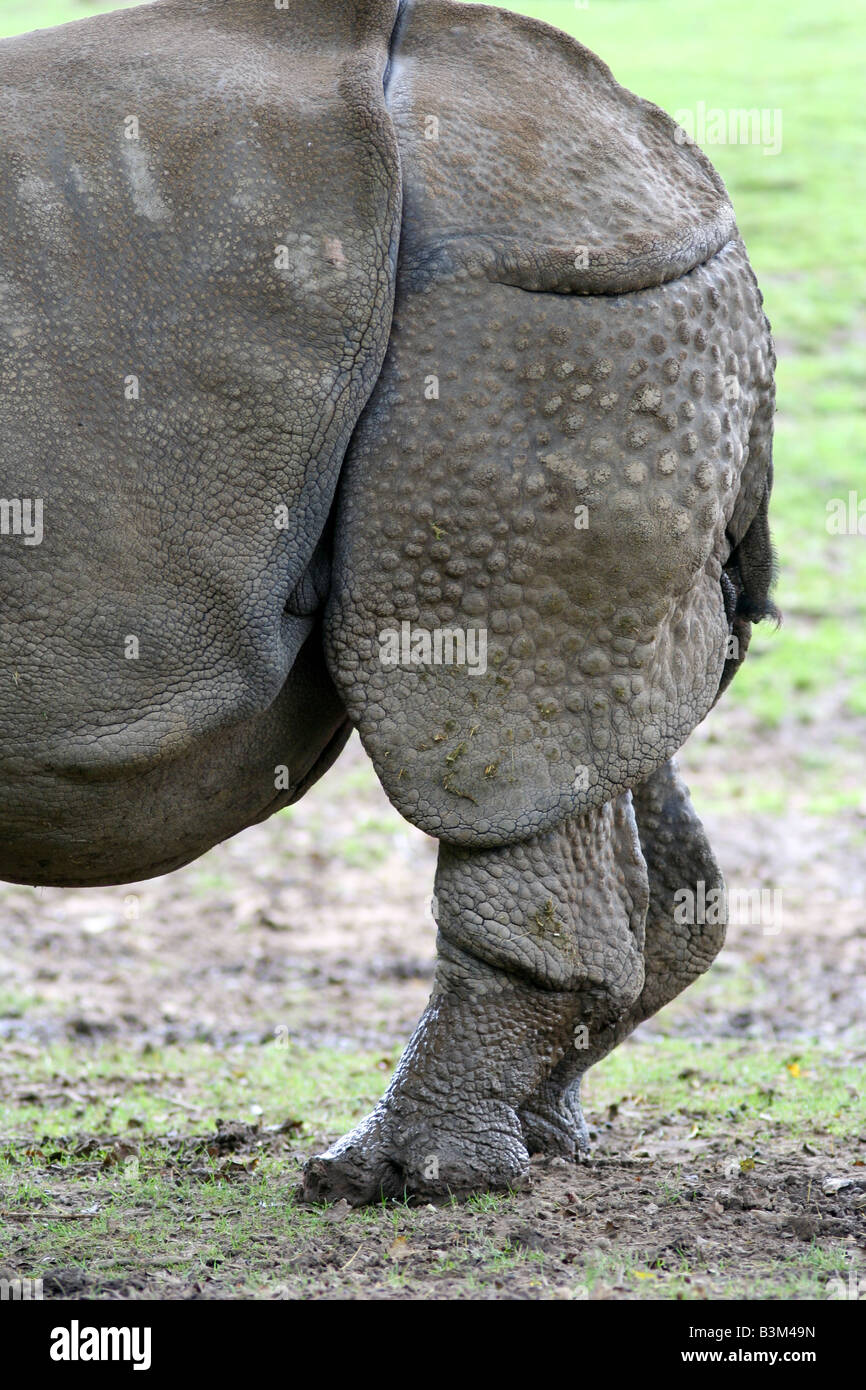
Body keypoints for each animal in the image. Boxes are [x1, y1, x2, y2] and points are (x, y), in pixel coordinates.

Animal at [0, 0, 776, 1204]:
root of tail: (681, 177)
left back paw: (395, 1177)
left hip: (525, 312)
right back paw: (536, 1140)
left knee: (489, 725)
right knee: (596, 733)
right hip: (596, 298)